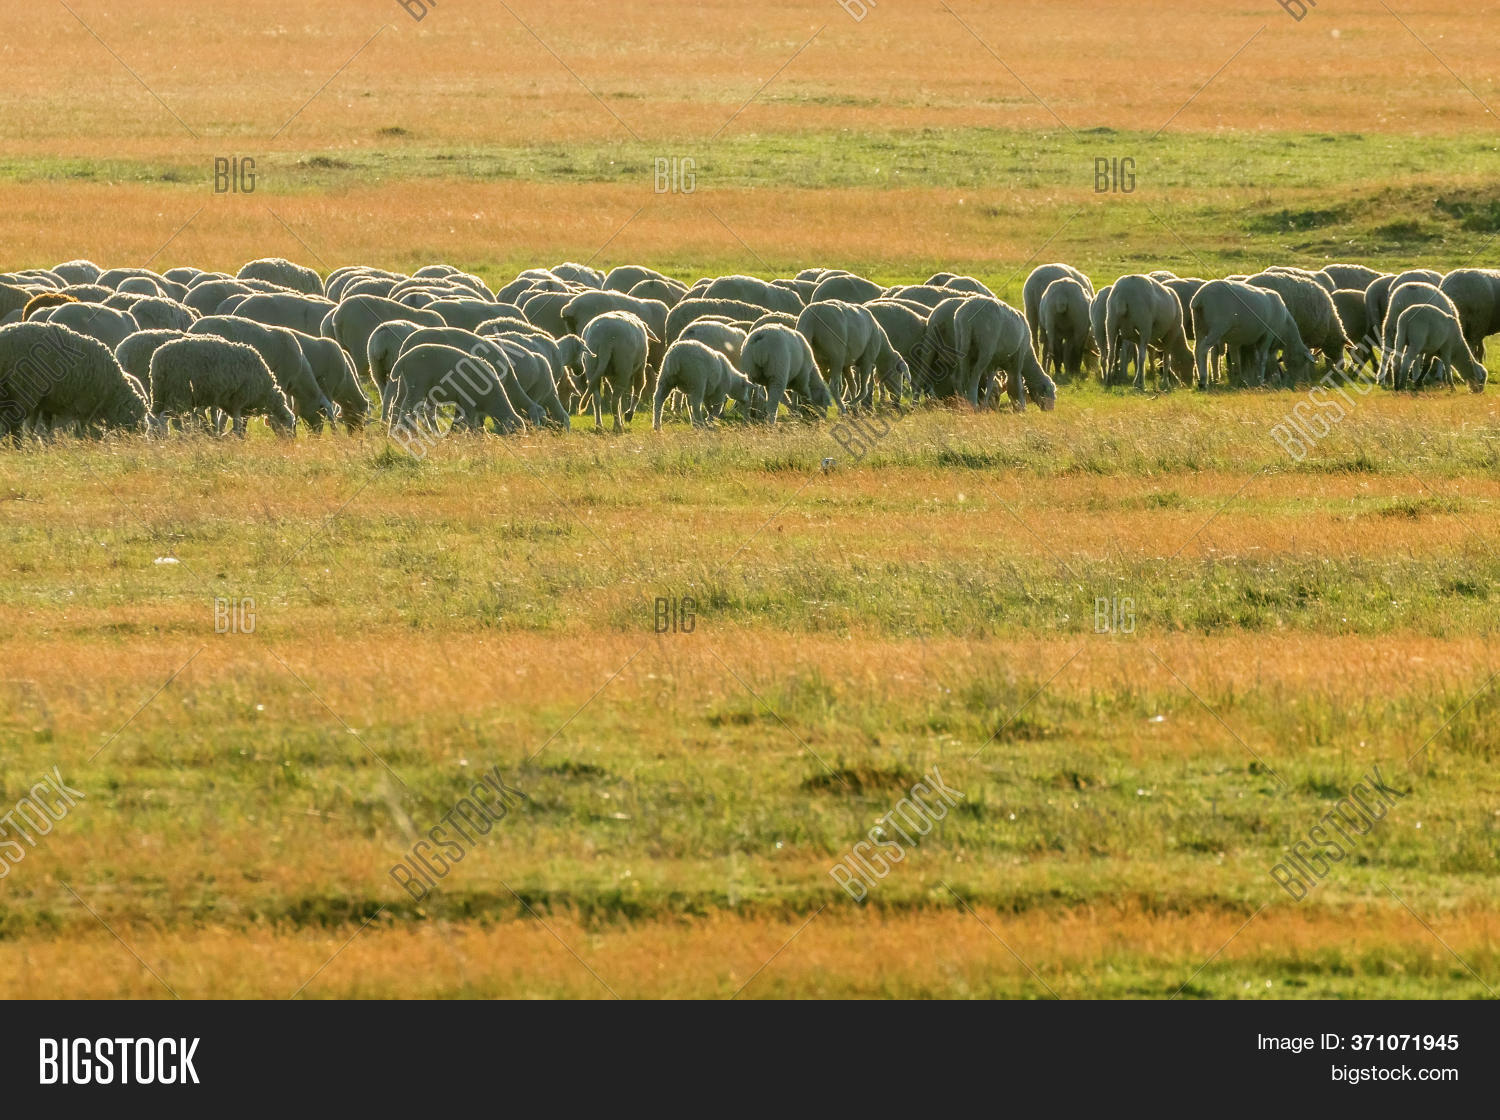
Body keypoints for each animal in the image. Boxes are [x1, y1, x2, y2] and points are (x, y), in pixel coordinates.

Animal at [0, 321, 147, 440]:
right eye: (139, 424)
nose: (139, 442)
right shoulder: (85, 405)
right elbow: (84, 429)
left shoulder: (46, 405)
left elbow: (40, 428)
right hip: (23, 391)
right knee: (12, 424)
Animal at [149, 336, 294, 436]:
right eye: (289, 426)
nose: (288, 444)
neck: (265, 393)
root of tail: (157, 358)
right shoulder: (239, 400)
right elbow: (236, 425)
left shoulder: (226, 402)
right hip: (179, 392)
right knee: (167, 418)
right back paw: (172, 436)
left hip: (164, 393)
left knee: (161, 417)